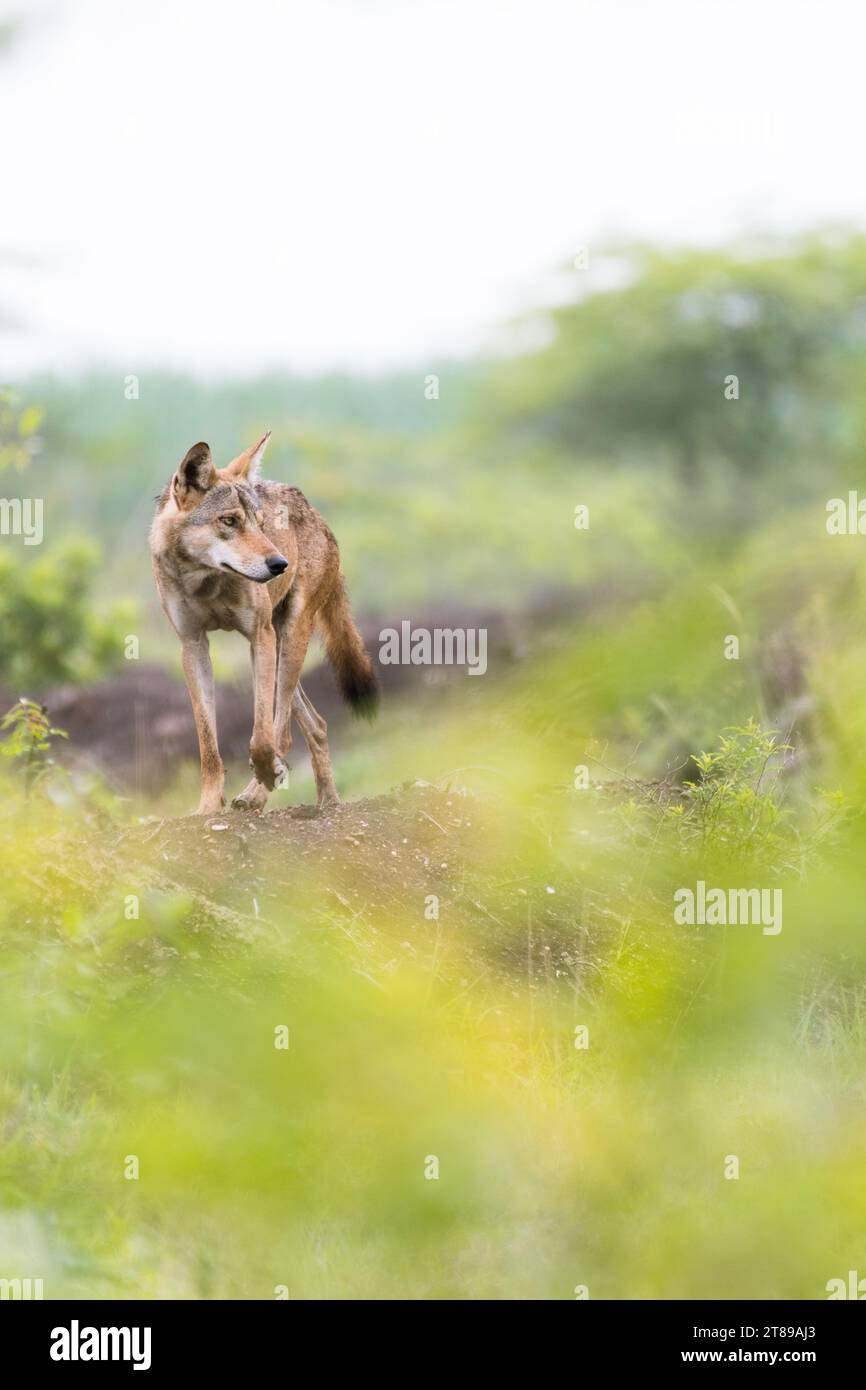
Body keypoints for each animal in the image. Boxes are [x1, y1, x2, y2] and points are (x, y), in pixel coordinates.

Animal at [150, 433, 378, 815]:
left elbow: (262, 737)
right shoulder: (192, 645)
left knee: (283, 732)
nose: (279, 564)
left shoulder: (259, 637)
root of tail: (314, 511)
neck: (206, 582)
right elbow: (208, 744)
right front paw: (208, 807)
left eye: (258, 521)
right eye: (229, 521)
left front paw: (264, 781)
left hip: (288, 639)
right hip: (281, 652)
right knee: (316, 725)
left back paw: (261, 790)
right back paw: (327, 802)